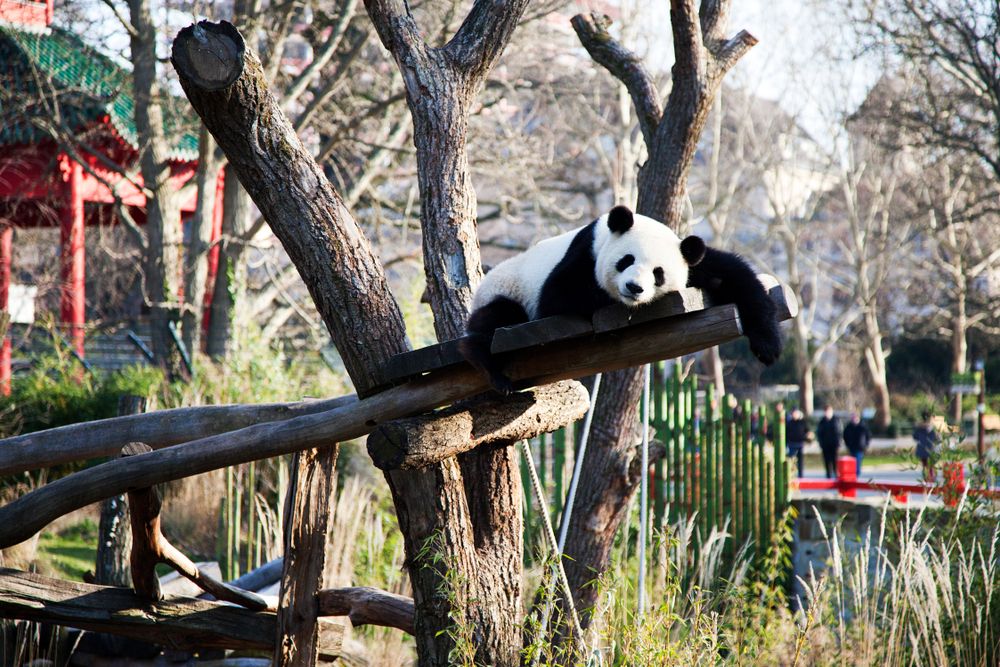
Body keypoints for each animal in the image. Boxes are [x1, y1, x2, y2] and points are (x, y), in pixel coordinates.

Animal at [460, 205, 782, 394]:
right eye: (627, 260)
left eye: (658, 273)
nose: (634, 287)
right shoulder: (583, 253)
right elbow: (558, 296)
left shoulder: (692, 259)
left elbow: (734, 274)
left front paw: (768, 346)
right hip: (503, 291)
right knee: (495, 321)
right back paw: (495, 373)